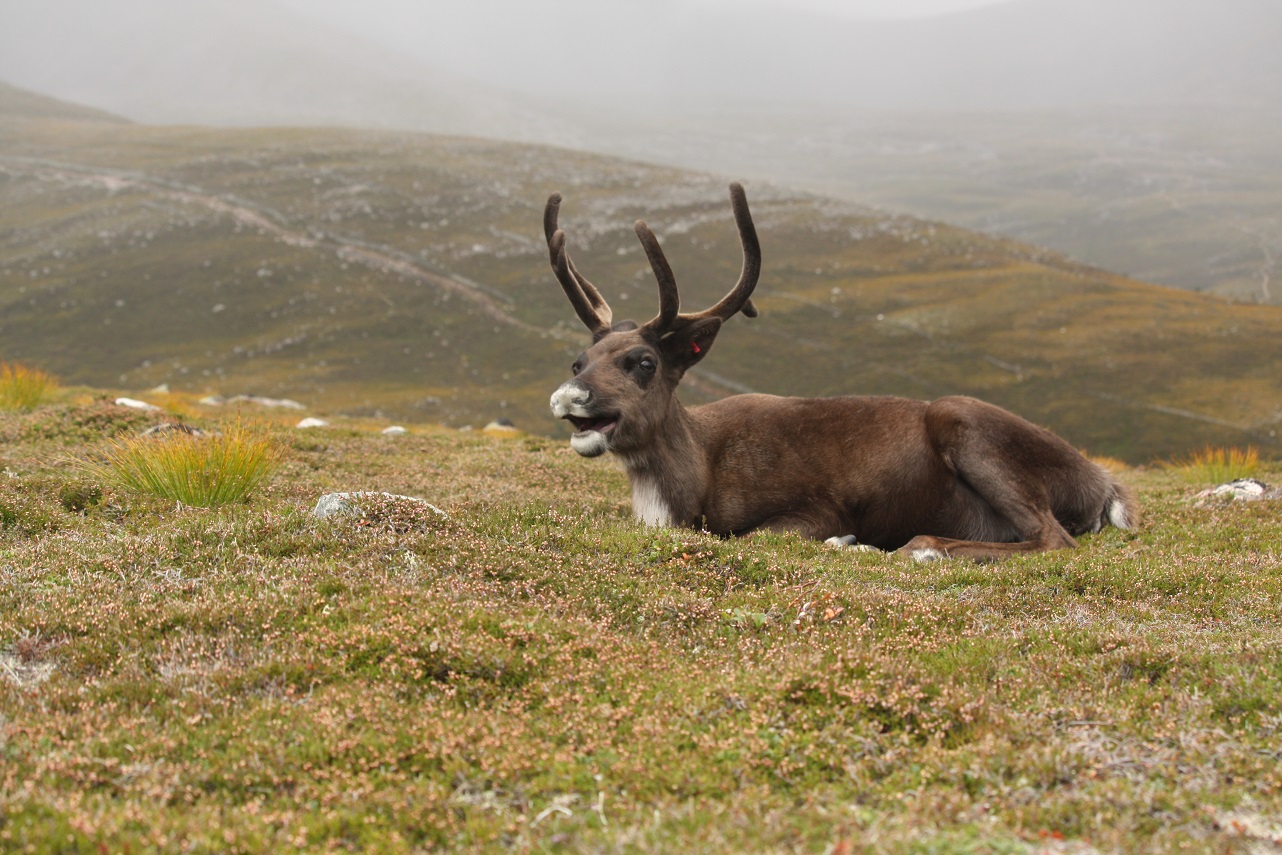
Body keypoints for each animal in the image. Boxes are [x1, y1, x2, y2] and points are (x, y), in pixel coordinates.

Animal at [544, 183, 1138, 561]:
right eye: (578, 360)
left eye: (644, 362)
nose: (567, 395)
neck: (695, 475)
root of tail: (1102, 482)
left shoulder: (817, 508)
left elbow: (760, 536)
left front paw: (847, 542)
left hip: (964, 420)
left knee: (1054, 539)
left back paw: (921, 548)